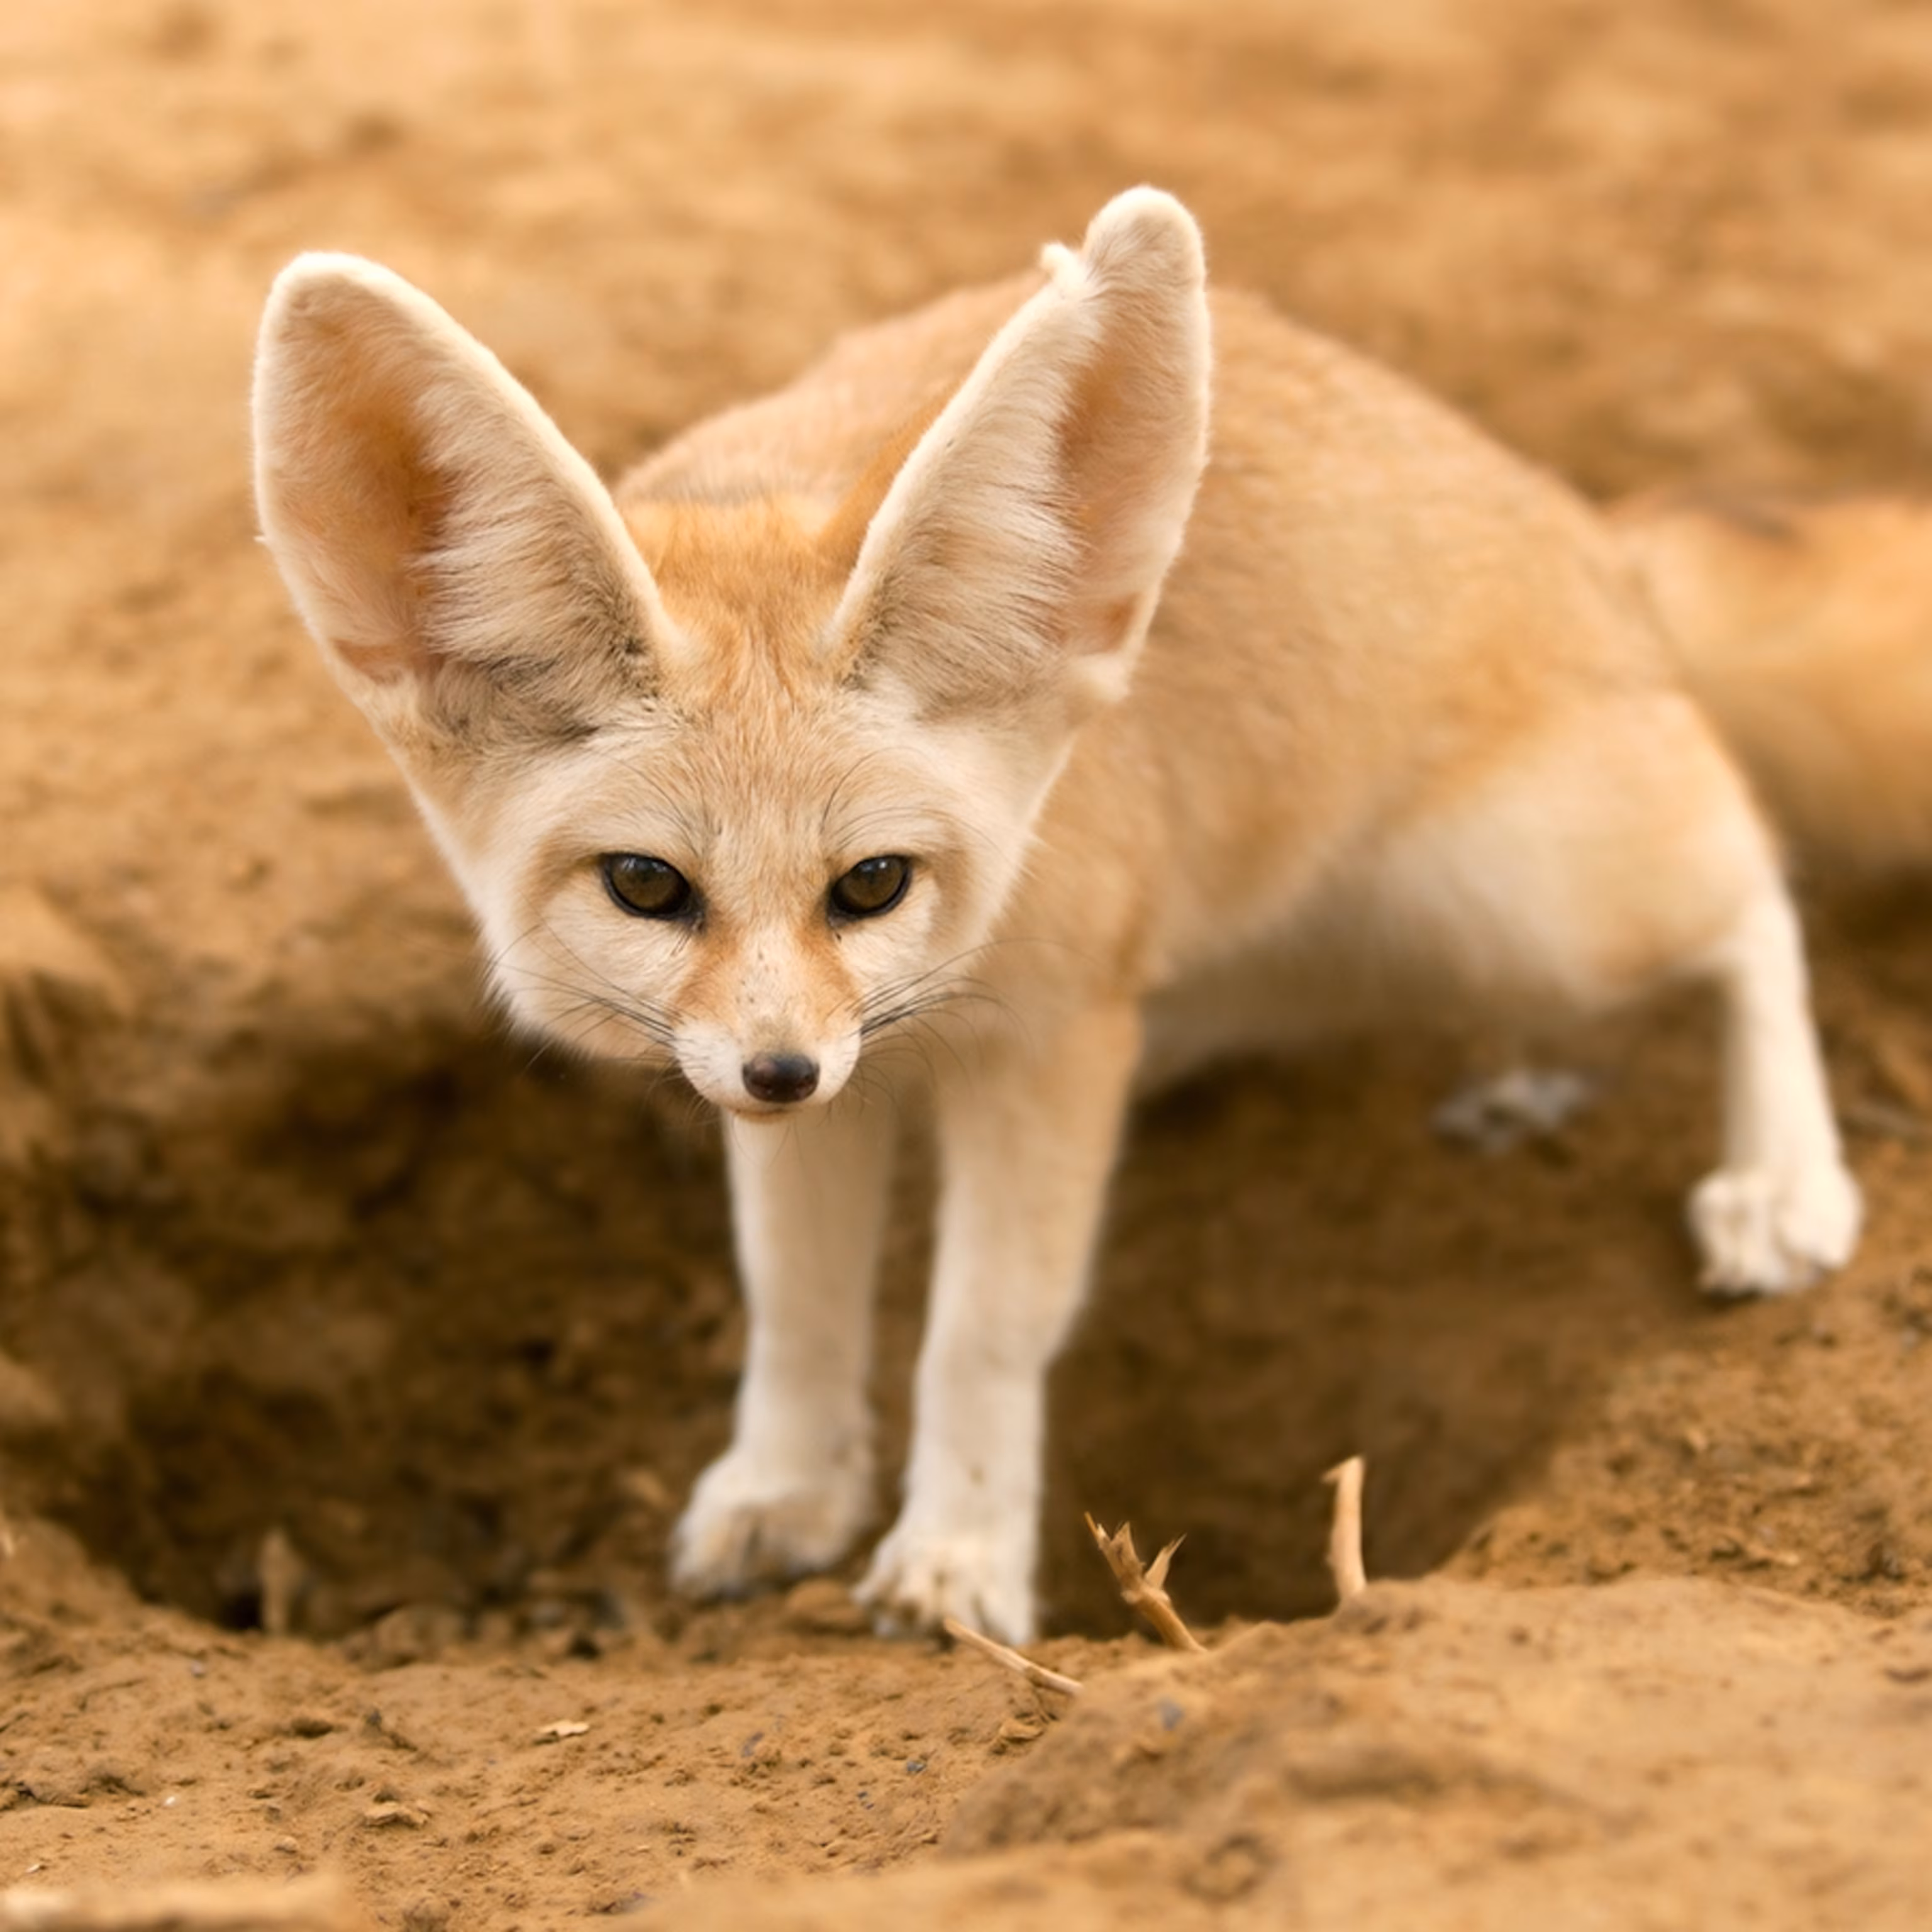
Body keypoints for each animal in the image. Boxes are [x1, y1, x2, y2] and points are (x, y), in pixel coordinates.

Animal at [251, 189, 1931, 1644]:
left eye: (872, 882)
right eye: (648, 886)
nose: (782, 1075)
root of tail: (1587, 529)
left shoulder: (1046, 1045)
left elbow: (980, 1327)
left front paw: (955, 1556)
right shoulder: (818, 1079)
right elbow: (795, 1299)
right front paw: (790, 1487)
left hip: (1526, 892)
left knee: (1749, 888)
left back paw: (1779, 1176)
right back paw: (1525, 1074)